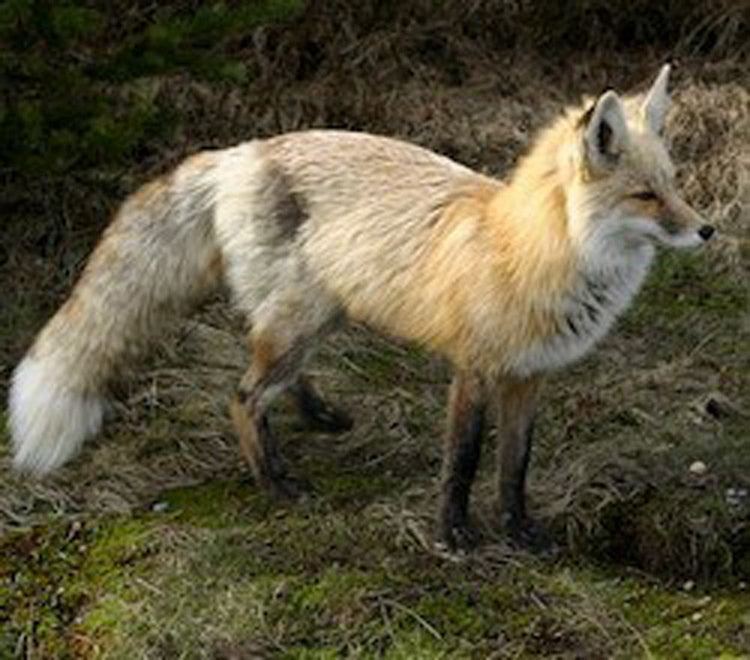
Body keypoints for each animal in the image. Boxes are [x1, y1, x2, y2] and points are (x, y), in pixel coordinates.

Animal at [9, 64, 714, 551]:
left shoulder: (528, 377)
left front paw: (519, 535)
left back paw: (318, 415)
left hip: (318, 315)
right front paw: (452, 537)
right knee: (242, 396)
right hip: (300, 319)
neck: (528, 253)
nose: (708, 231)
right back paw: (276, 484)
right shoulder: (475, 369)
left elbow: (514, 467)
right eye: (646, 196)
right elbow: (463, 462)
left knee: (268, 377)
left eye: (675, 186)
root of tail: (241, 151)